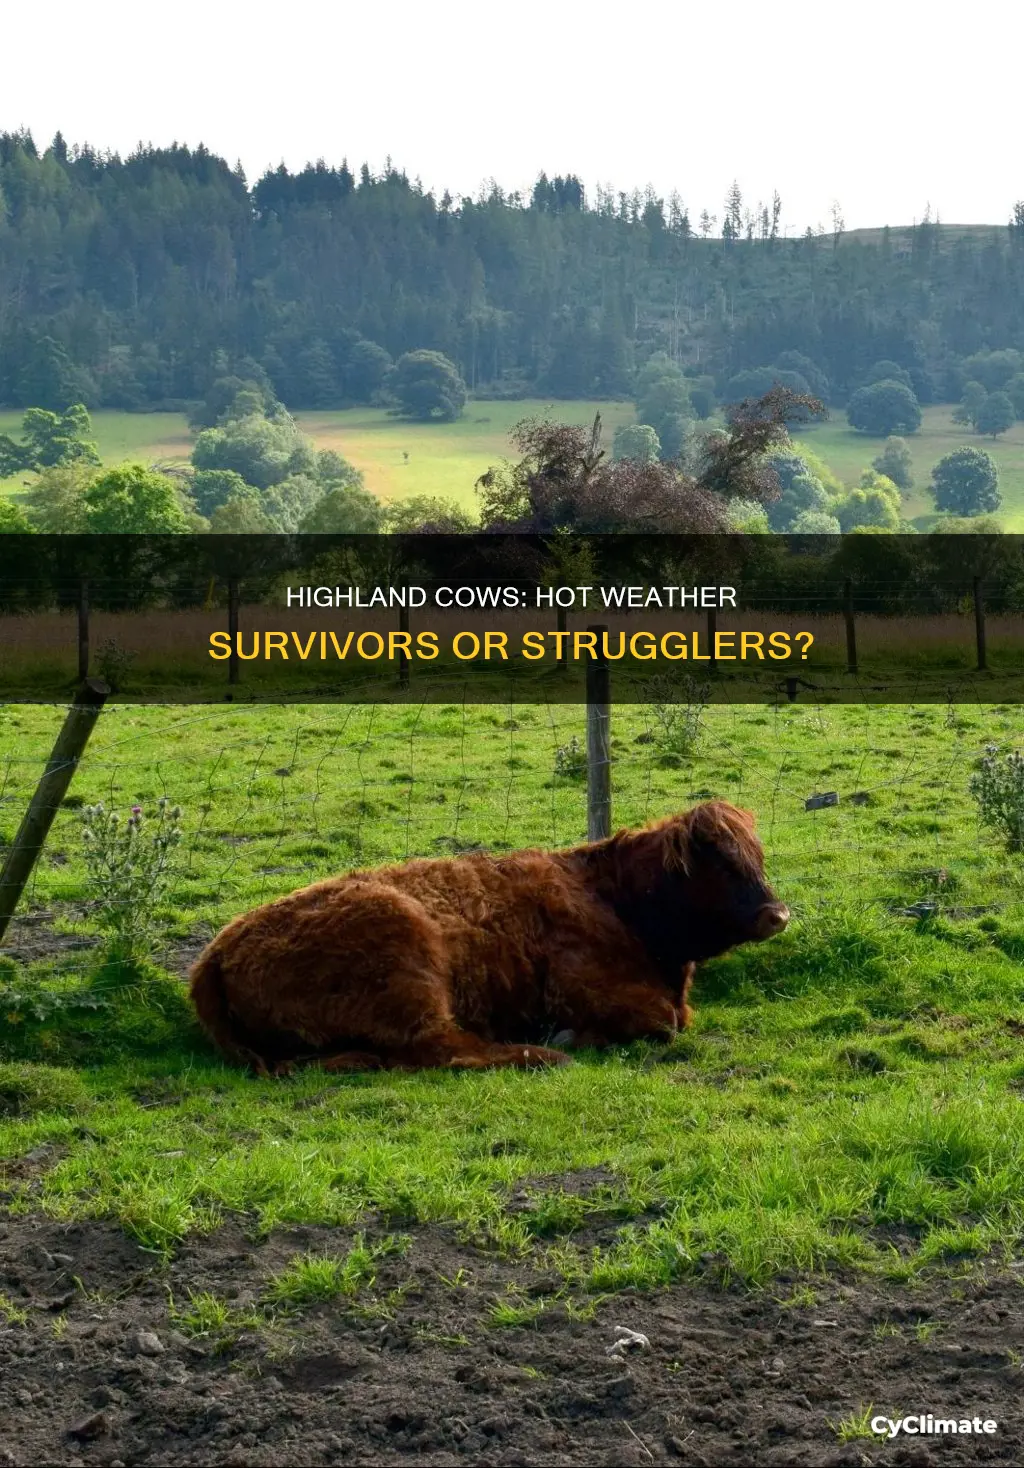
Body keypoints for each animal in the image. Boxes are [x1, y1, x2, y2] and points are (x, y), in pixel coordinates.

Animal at [189, 800, 788, 1075]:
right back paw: (542, 1052)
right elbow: (663, 1021)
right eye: (721, 865)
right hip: (411, 967)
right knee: (444, 1049)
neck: (610, 895)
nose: (777, 914)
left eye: (756, 857)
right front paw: (571, 1035)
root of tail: (215, 953)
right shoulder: (582, 988)